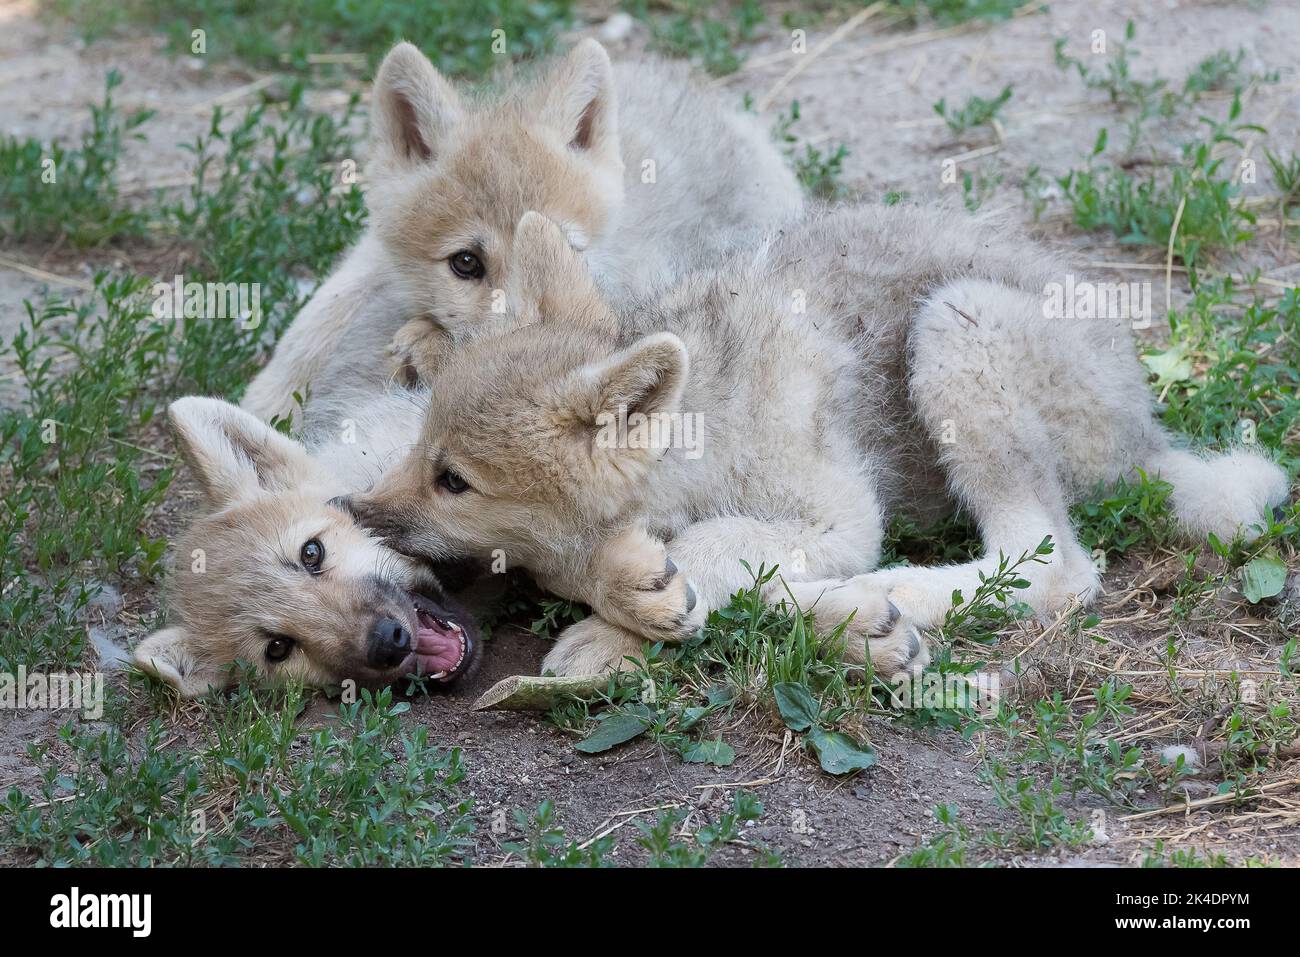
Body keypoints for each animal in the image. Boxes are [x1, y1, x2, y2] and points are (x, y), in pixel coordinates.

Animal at [345, 205, 1290, 679]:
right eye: (419, 446)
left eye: (454, 480)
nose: (352, 508)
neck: (706, 431)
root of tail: (1147, 435)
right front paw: (629, 600)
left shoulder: (838, 514)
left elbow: (705, 546)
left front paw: (625, 609)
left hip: (957, 328)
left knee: (1053, 564)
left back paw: (890, 593)